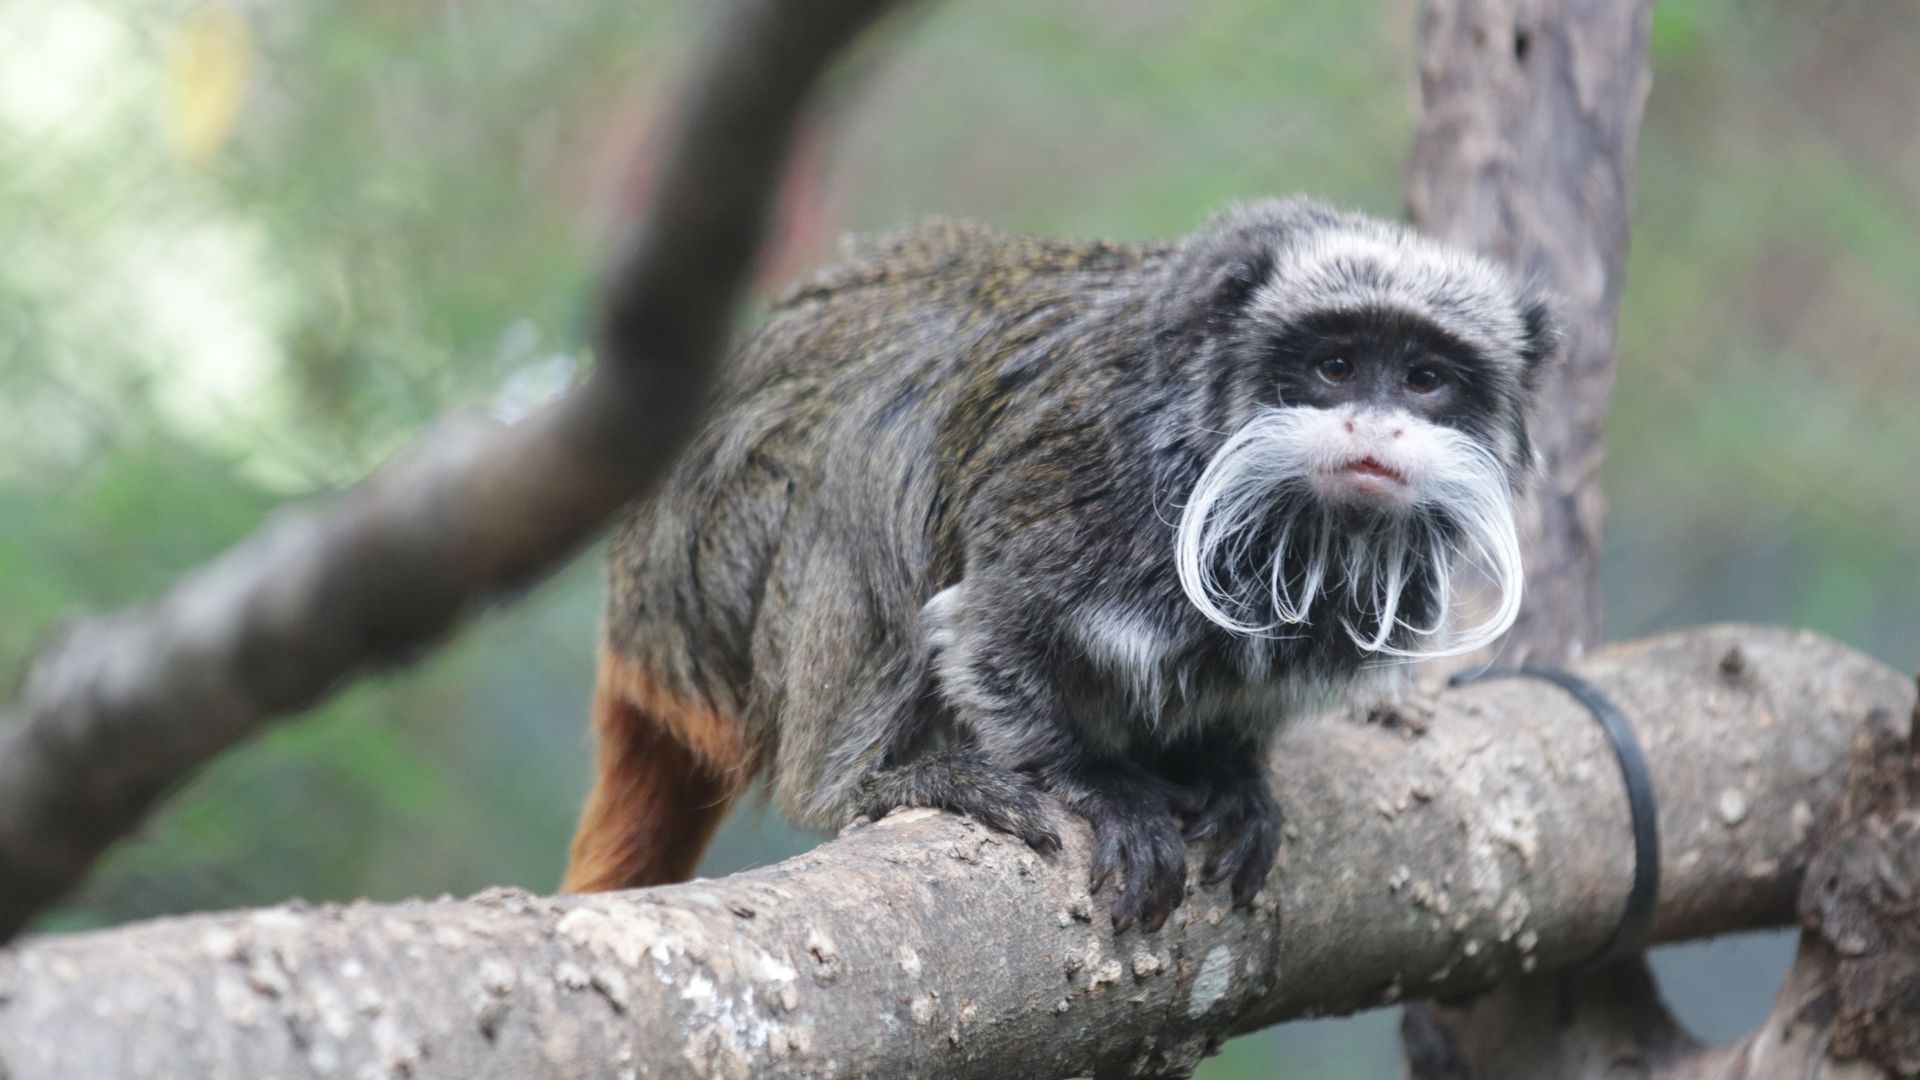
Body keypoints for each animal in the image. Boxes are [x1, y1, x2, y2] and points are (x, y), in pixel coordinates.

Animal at [562, 197, 1558, 931]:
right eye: (1336, 365)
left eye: (1426, 379)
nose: (1377, 428)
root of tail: (634, 621)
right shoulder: (1085, 476)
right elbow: (989, 635)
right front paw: (1100, 785)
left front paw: (1232, 772)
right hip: (712, 574)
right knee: (871, 453)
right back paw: (867, 781)